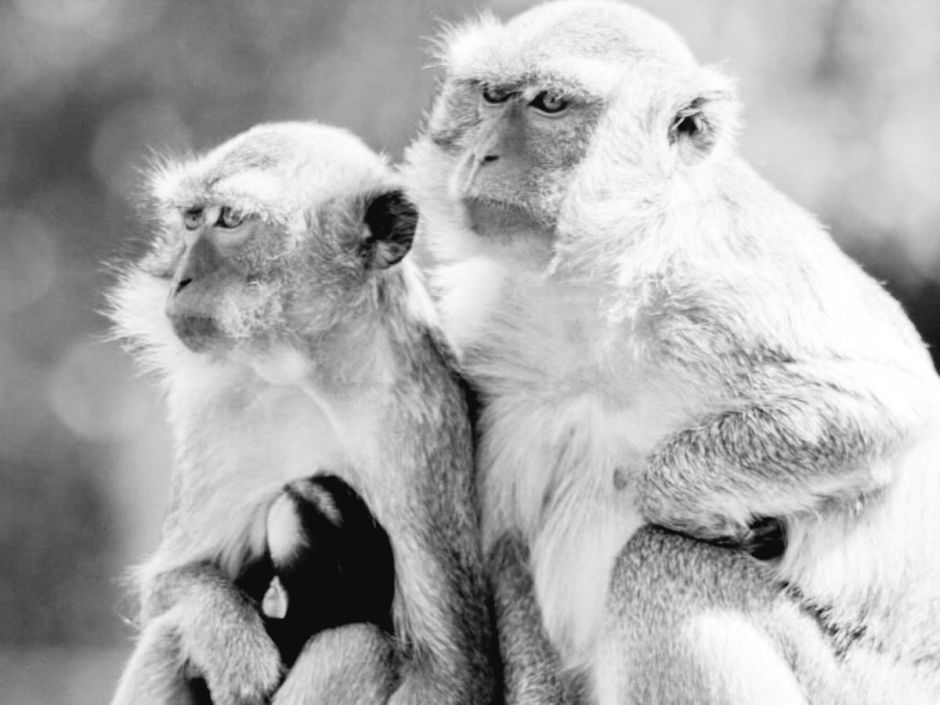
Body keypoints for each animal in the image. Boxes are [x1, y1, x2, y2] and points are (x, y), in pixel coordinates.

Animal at [107, 121, 498, 705]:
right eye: (192, 218)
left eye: (231, 218)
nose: (180, 279)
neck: (309, 371)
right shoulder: (214, 405)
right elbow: (168, 586)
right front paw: (230, 639)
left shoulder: (416, 424)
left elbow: (448, 671)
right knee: (168, 634)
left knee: (358, 645)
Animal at [404, 1, 940, 702]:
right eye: (492, 95)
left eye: (550, 104)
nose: (482, 153)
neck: (597, 282)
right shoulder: (494, 342)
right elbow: (510, 545)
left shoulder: (720, 287)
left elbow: (885, 410)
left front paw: (681, 500)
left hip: (858, 685)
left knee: (657, 563)